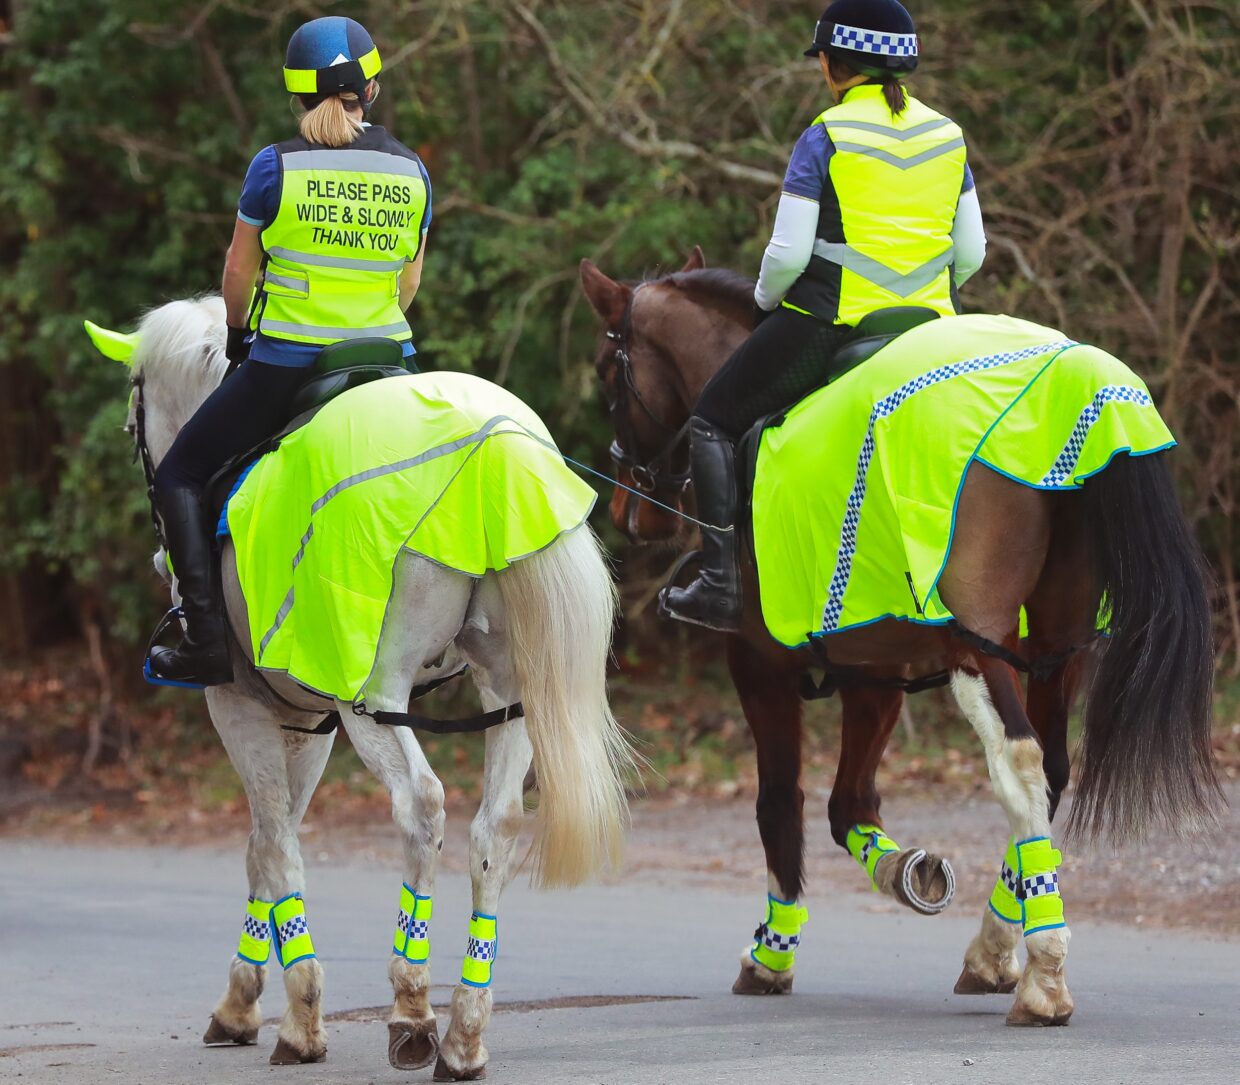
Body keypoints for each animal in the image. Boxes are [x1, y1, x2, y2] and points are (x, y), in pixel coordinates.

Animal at [87, 296, 632, 1077]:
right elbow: (266, 841)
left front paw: (295, 1016)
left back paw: (412, 1009)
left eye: (136, 425)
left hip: (376, 697)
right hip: (508, 694)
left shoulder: (242, 706)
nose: (162, 551)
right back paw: (464, 1033)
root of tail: (492, 444)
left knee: (422, 807)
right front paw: (245, 1001)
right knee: (494, 827)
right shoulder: (305, 717)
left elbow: (273, 842)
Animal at [579, 248, 1221, 1027]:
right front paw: (906, 870)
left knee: (1020, 765)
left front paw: (771, 955)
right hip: (1055, 648)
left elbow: (780, 803)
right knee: (1050, 772)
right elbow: (848, 804)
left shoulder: (759, 662)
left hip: (979, 647)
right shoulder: (874, 670)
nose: (630, 510)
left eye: (609, 373)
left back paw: (1043, 977)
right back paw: (996, 949)